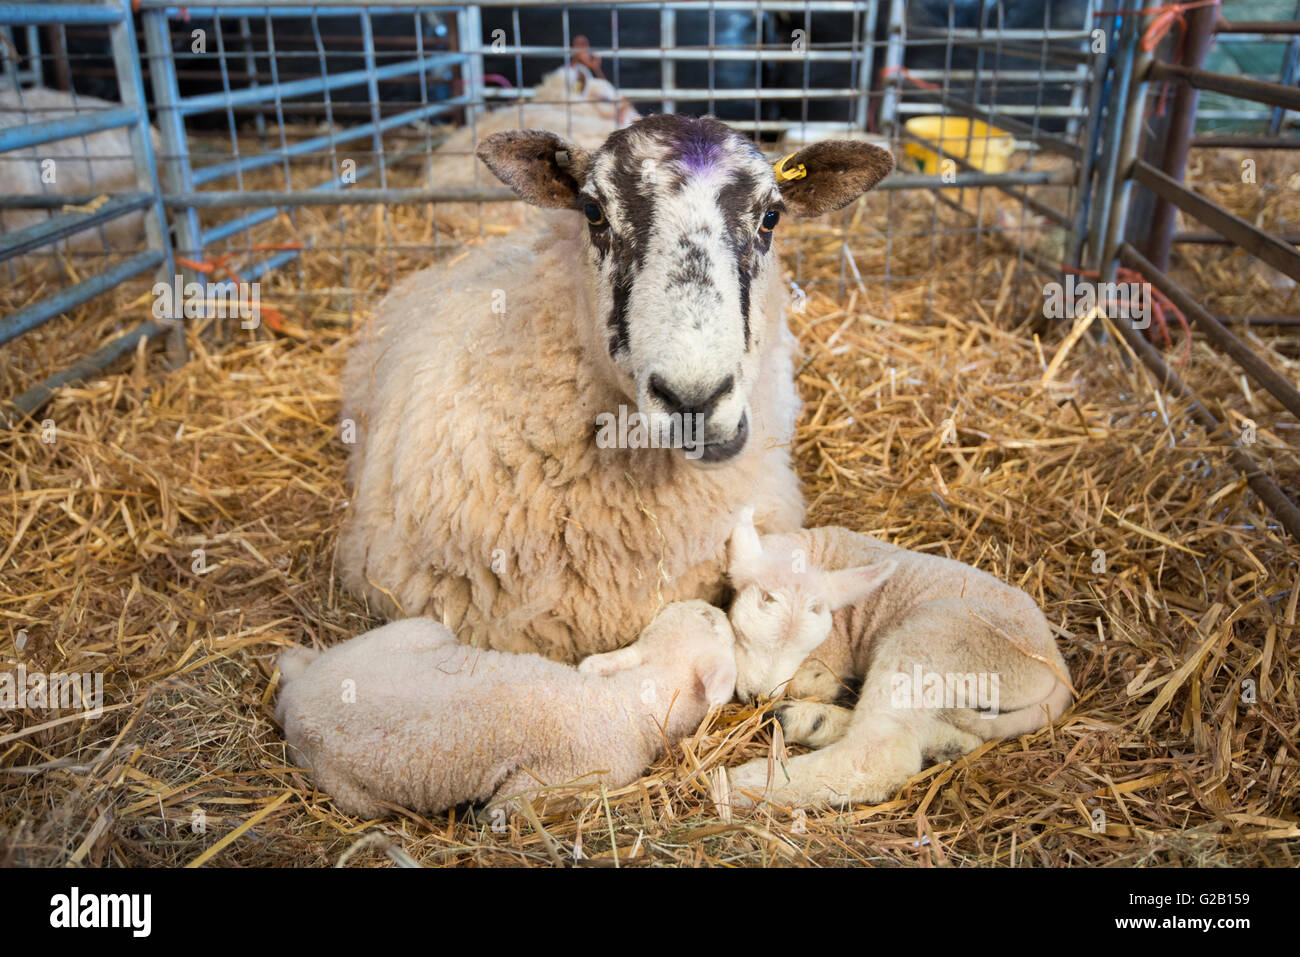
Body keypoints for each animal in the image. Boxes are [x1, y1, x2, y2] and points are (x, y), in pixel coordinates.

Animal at [274, 599, 736, 819]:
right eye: (711, 619)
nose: (718, 605)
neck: (627, 701)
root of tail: (297, 697)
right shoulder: (555, 780)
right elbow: (503, 805)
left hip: (409, 633)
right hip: (350, 792)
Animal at [722, 507, 1073, 808]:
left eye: (805, 648)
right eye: (742, 633)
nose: (758, 698)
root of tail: (1055, 664)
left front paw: (814, 682)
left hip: (938, 637)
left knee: (881, 754)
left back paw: (745, 782)